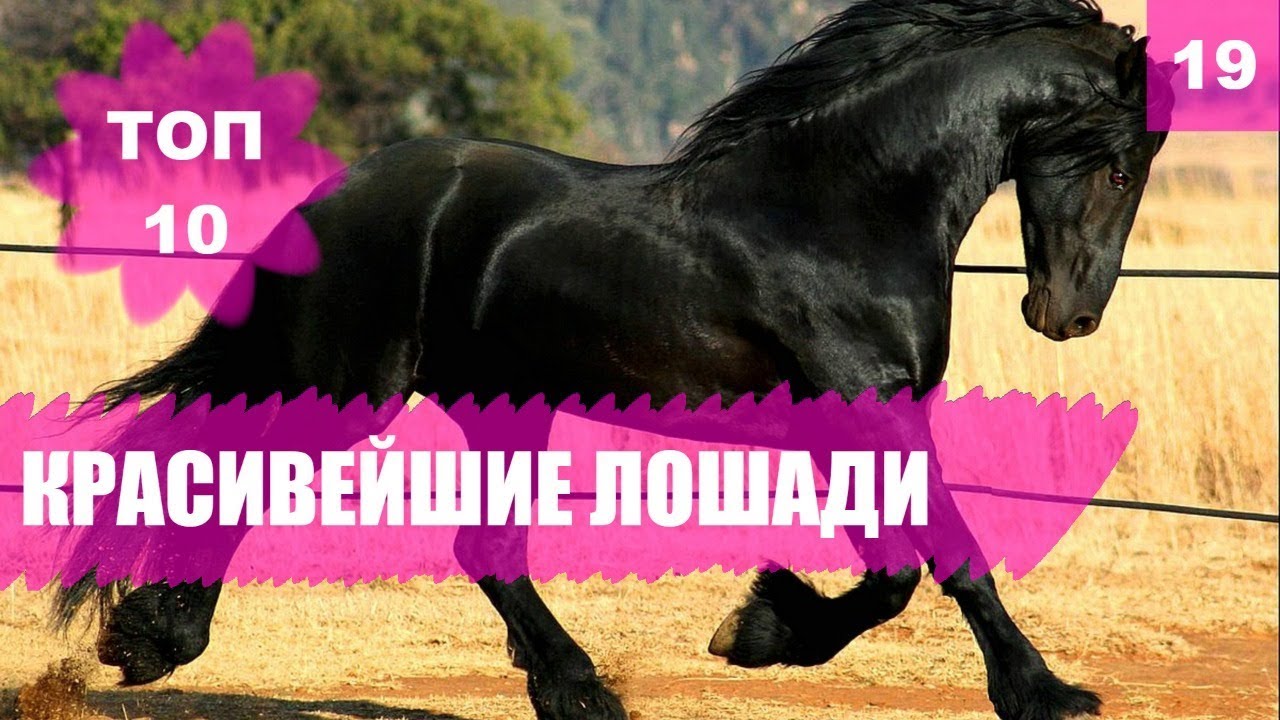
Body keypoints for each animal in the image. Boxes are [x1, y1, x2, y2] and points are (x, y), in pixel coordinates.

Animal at [52, 1, 1175, 718]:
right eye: (1121, 164)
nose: (1067, 315)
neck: (840, 208)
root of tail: (327, 199)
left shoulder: (858, 424)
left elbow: (901, 568)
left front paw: (759, 629)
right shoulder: (862, 408)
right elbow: (939, 562)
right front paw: (1044, 694)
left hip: (501, 406)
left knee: (485, 550)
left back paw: (574, 689)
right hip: (346, 388)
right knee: (233, 475)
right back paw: (150, 643)